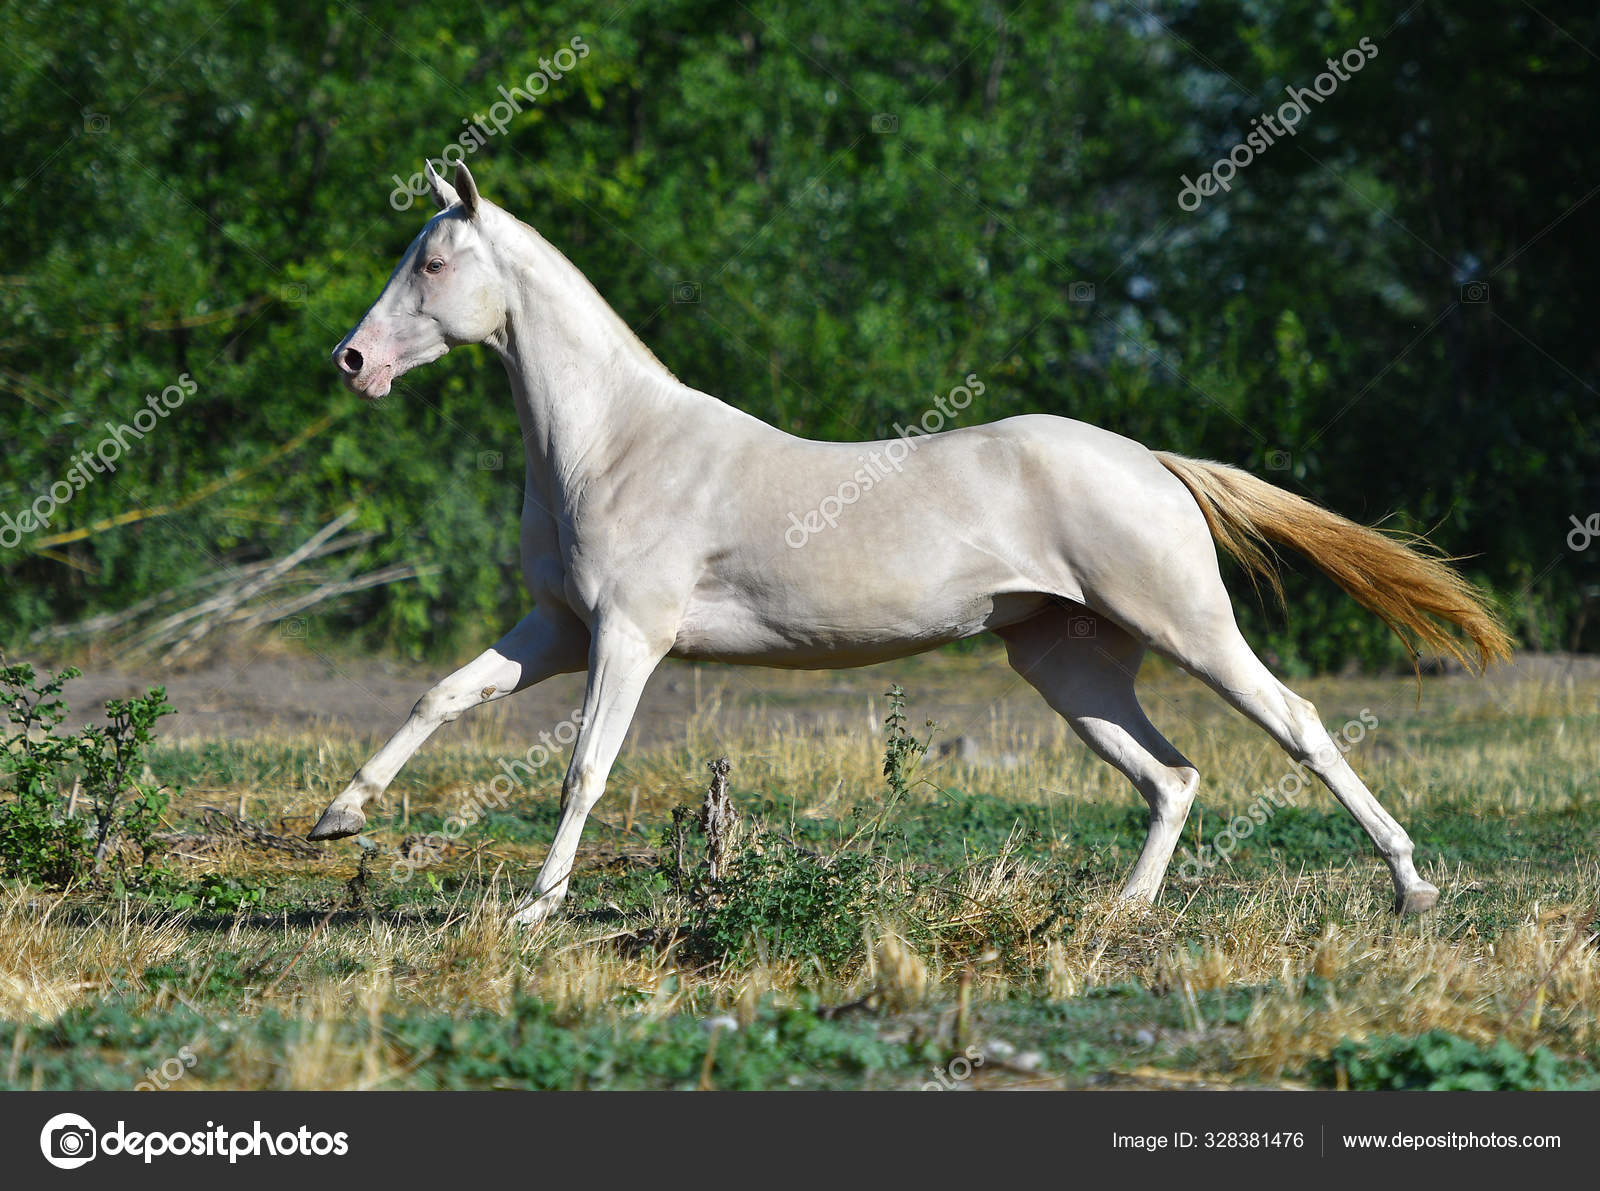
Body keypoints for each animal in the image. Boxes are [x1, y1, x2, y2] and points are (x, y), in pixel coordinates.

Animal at [312, 160, 1510, 925]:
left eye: (432, 263)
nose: (353, 363)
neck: (615, 443)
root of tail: (1152, 462)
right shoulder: (558, 629)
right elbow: (440, 695)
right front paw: (336, 818)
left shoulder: (628, 639)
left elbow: (582, 770)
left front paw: (532, 910)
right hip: (1065, 661)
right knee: (1171, 777)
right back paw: (1124, 912)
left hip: (1185, 627)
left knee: (1297, 726)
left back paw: (1411, 886)